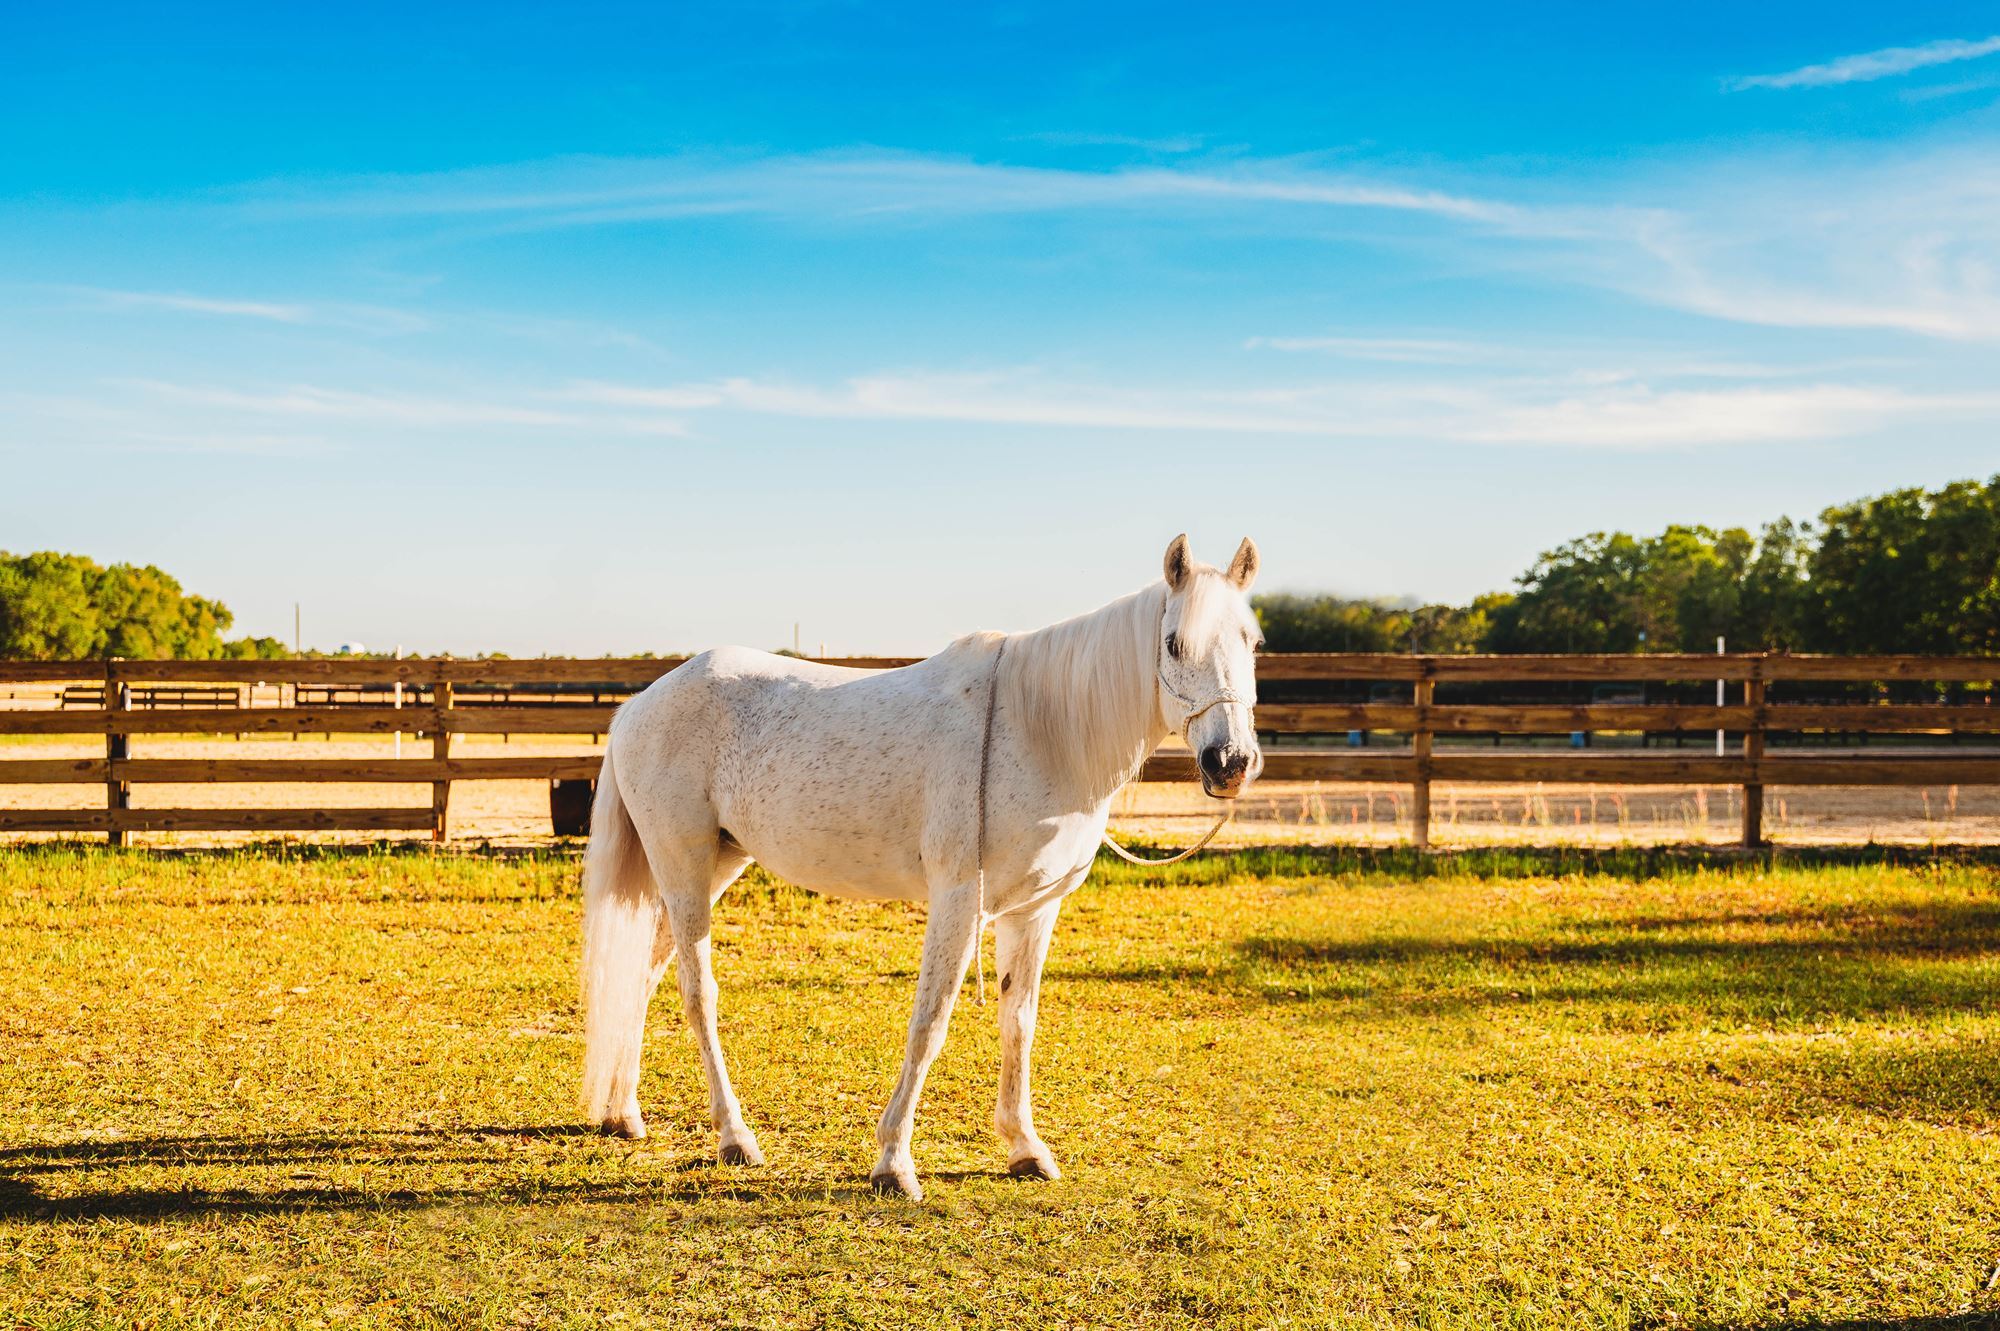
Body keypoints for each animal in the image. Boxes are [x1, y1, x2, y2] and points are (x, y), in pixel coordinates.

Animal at [580, 534, 1263, 1199]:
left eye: (1253, 641)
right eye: (1173, 643)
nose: (1229, 762)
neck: (1041, 729)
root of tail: (637, 705)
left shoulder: (1032, 910)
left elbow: (1019, 1022)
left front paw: (1024, 1148)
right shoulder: (960, 899)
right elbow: (930, 1022)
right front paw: (893, 1163)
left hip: (719, 864)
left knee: (644, 973)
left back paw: (624, 1112)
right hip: (684, 865)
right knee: (697, 993)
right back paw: (733, 1137)